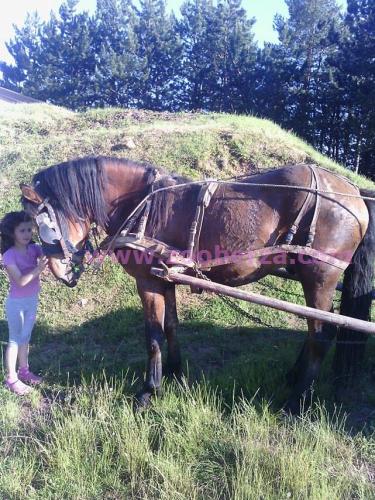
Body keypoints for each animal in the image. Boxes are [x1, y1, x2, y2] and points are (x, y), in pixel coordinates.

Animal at [20, 156, 375, 410]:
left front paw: (149, 390)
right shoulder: (164, 278)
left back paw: (296, 400)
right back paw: (293, 378)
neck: (142, 203)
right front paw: (175, 372)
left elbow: (153, 334)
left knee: (322, 335)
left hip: (319, 278)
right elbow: (171, 325)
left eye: (44, 221)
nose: (58, 271)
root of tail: (354, 193)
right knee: (315, 330)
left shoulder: (147, 281)